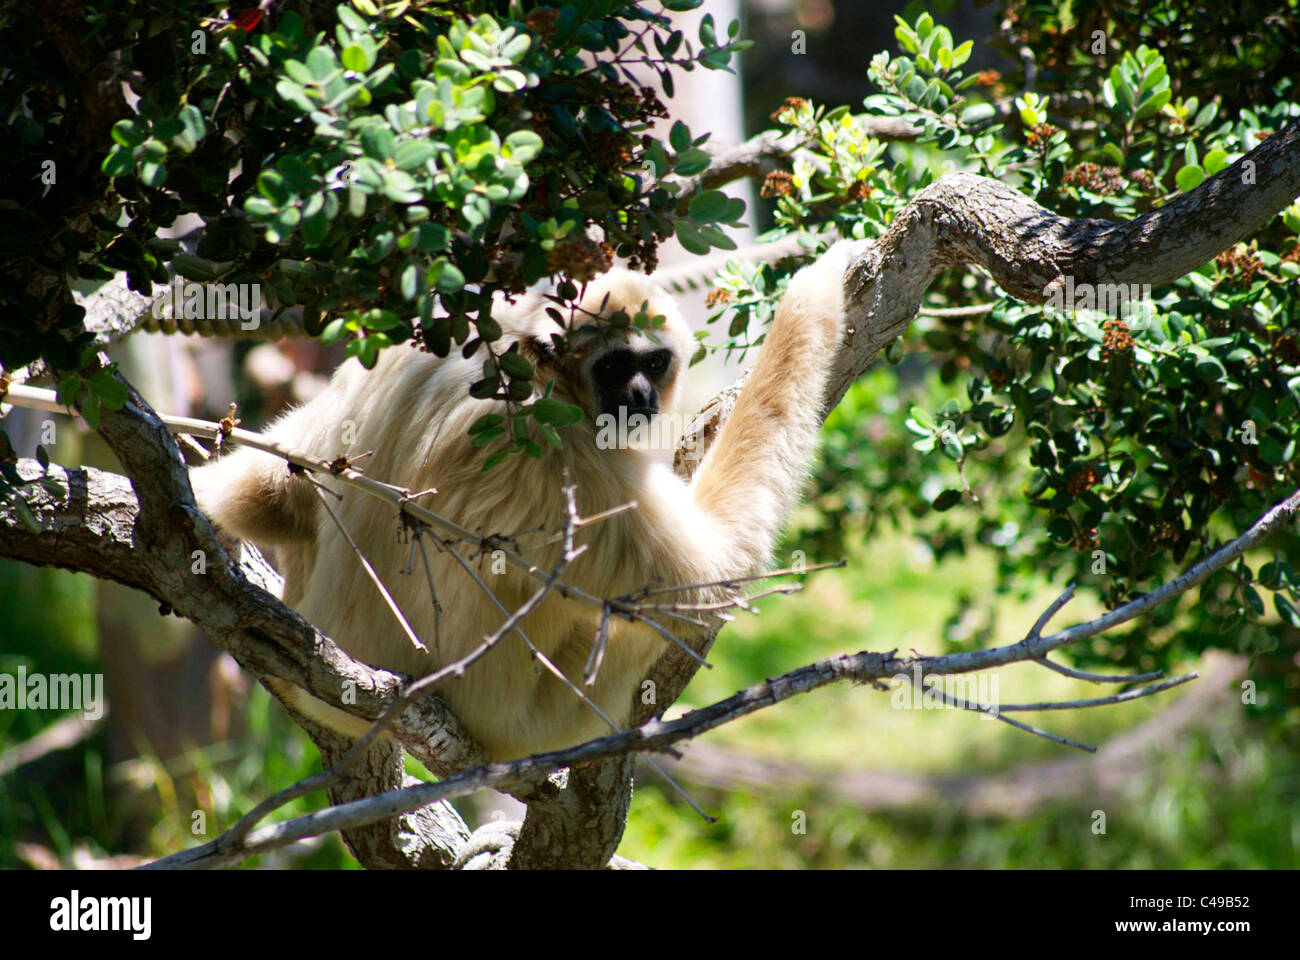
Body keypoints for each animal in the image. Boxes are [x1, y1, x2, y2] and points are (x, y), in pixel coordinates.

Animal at [190, 240, 860, 761]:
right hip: (542, 720)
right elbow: (709, 579)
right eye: (613, 366)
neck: (515, 352)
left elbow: (286, 475)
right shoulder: (561, 446)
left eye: (654, 362)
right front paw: (812, 293)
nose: (641, 395)